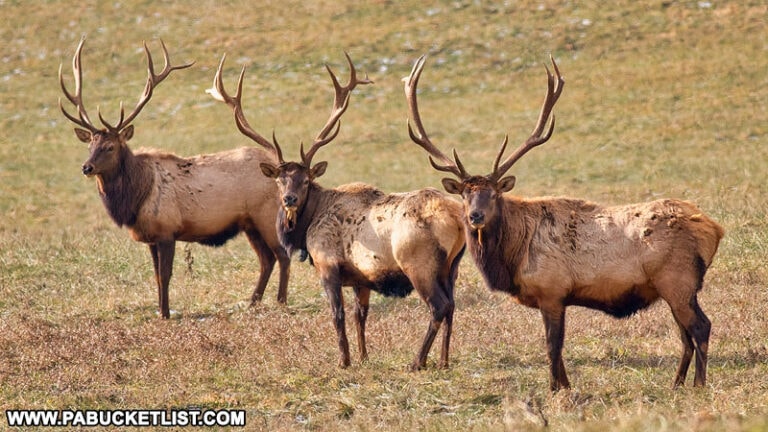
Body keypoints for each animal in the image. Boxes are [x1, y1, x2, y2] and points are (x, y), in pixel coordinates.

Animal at [59, 37, 292, 319]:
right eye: (90, 145)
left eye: (110, 147)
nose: (87, 167)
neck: (135, 199)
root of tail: (278, 167)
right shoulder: (150, 236)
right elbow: (156, 276)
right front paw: (160, 311)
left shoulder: (166, 231)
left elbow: (165, 275)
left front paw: (166, 313)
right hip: (249, 224)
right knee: (266, 259)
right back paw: (253, 302)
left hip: (266, 215)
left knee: (282, 255)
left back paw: (281, 301)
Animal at [208, 53, 467, 370]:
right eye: (280, 179)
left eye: (306, 180)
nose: (290, 199)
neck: (309, 223)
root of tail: (457, 219)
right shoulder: (361, 278)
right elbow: (360, 316)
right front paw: (364, 357)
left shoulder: (327, 265)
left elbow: (338, 315)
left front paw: (344, 360)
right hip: (452, 267)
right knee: (452, 306)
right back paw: (443, 360)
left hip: (420, 264)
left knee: (439, 306)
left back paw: (417, 361)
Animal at [404, 54, 724, 390]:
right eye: (465, 195)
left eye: (493, 194)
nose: (475, 216)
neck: (513, 257)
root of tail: (714, 229)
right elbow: (557, 348)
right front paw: (565, 385)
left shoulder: (552, 291)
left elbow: (552, 346)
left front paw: (555, 387)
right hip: (674, 287)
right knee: (685, 335)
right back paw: (677, 383)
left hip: (678, 281)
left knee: (701, 327)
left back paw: (699, 384)